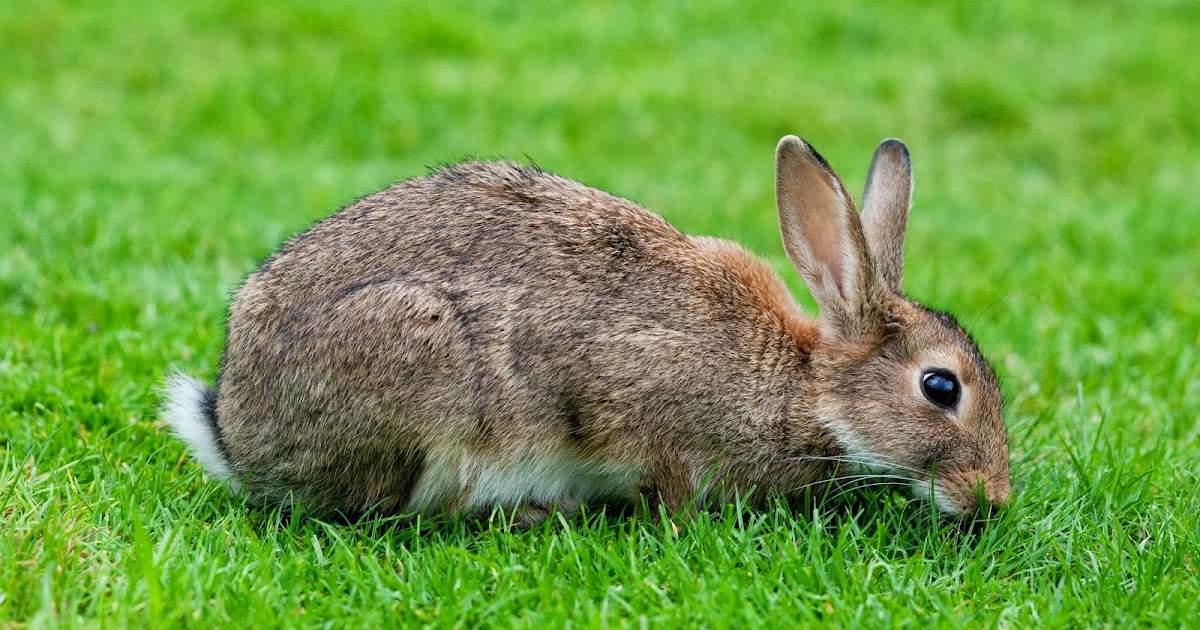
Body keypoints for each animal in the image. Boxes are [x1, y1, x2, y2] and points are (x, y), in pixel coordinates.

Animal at [163, 135, 1011, 524]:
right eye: (941, 387)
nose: (994, 498)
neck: (805, 387)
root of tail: (235, 431)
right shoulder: (634, 400)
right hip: (422, 373)